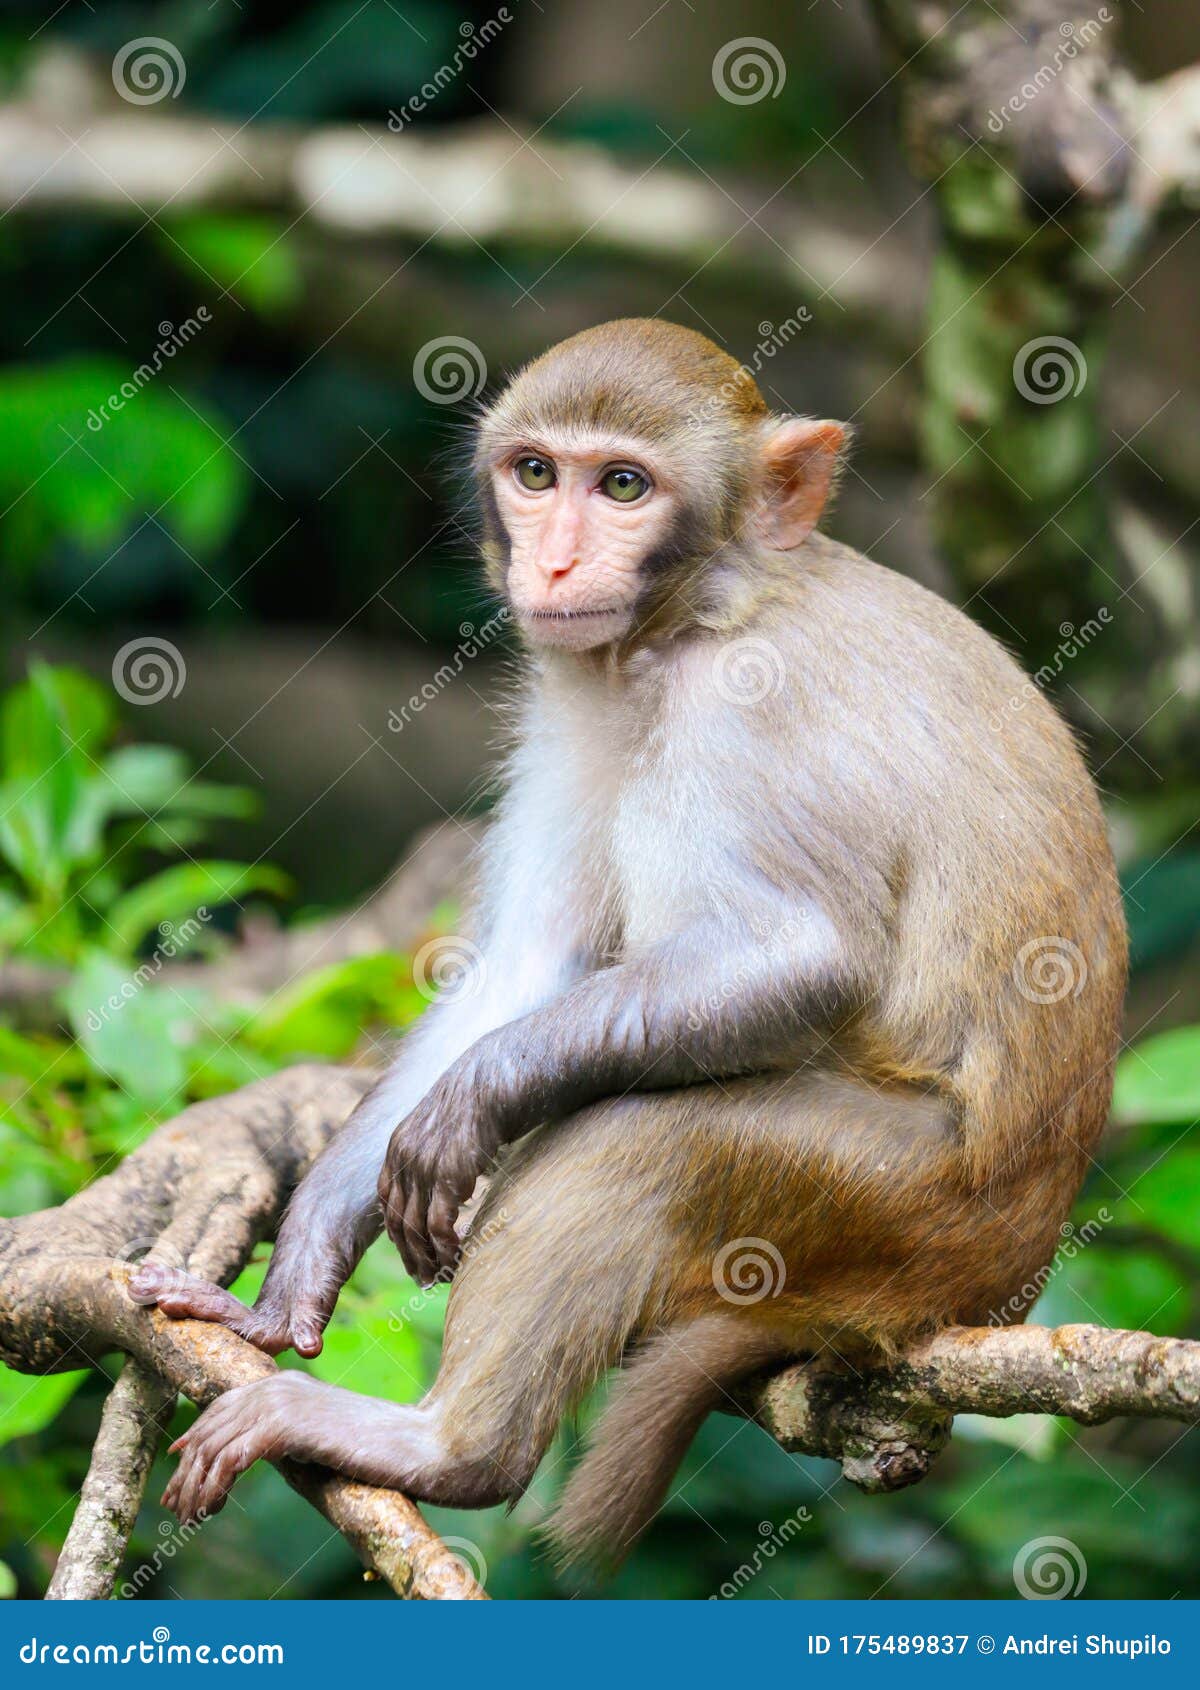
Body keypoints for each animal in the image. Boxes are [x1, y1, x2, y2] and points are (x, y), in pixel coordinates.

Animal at [130, 318, 1126, 1571]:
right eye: (535, 473)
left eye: (623, 487)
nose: (553, 565)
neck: (691, 620)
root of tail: (1007, 1272)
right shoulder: (572, 694)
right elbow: (523, 968)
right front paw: (297, 1269)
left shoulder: (752, 710)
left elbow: (803, 957)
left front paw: (469, 1101)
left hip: (912, 1201)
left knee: (639, 1134)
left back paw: (451, 1449)